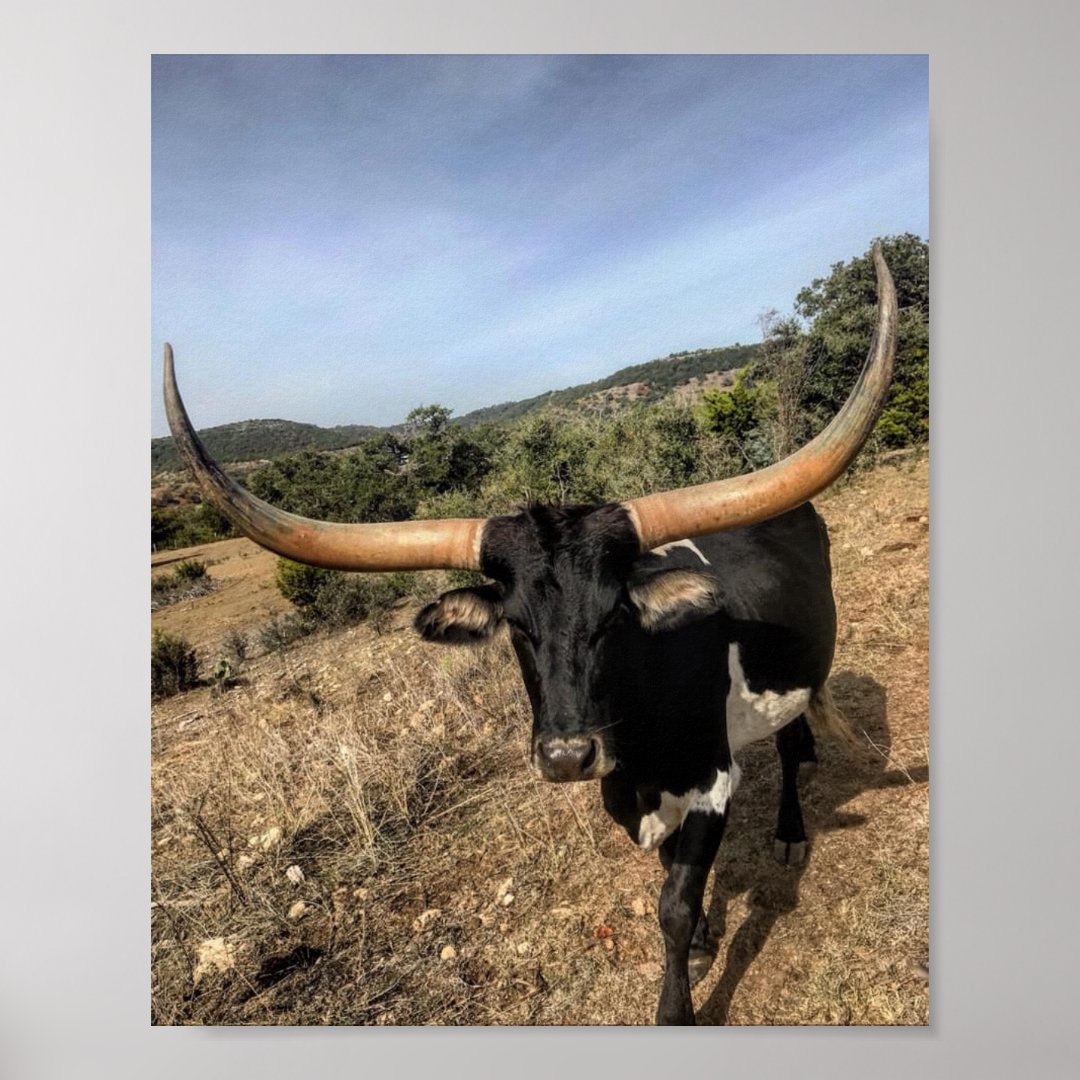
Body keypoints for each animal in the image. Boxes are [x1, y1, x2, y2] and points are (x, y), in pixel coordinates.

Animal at [163, 245, 897, 1025]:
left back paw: (789, 833)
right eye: (516, 627)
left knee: (790, 746)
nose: (569, 756)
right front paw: (702, 937)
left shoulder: (710, 782)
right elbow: (674, 880)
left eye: (615, 617)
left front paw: (678, 998)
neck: (638, 752)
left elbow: (672, 902)